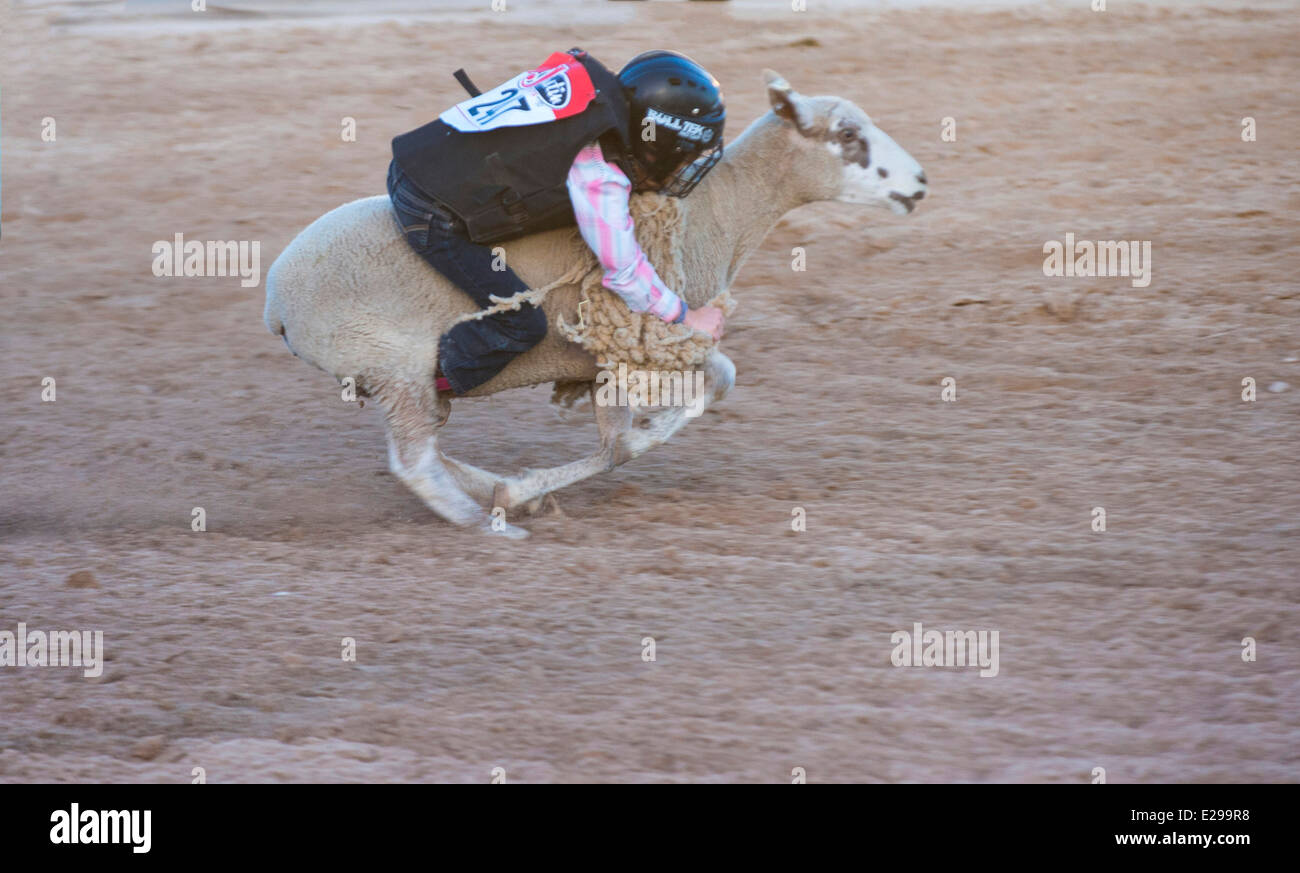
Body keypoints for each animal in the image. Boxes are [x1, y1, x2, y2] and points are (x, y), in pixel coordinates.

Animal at [263, 71, 928, 537]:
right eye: (848, 136)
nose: (920, 183)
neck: (715, 214)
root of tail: (276, 300)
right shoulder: (642, 341)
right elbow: (660, 418)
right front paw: (544, 483)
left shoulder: (607, 361)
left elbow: (638, 430)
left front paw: (525, 489)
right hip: (392, 362)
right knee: (415, 461)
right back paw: (485, 523)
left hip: (394, 375)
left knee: (425, 443)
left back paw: (486, 490)